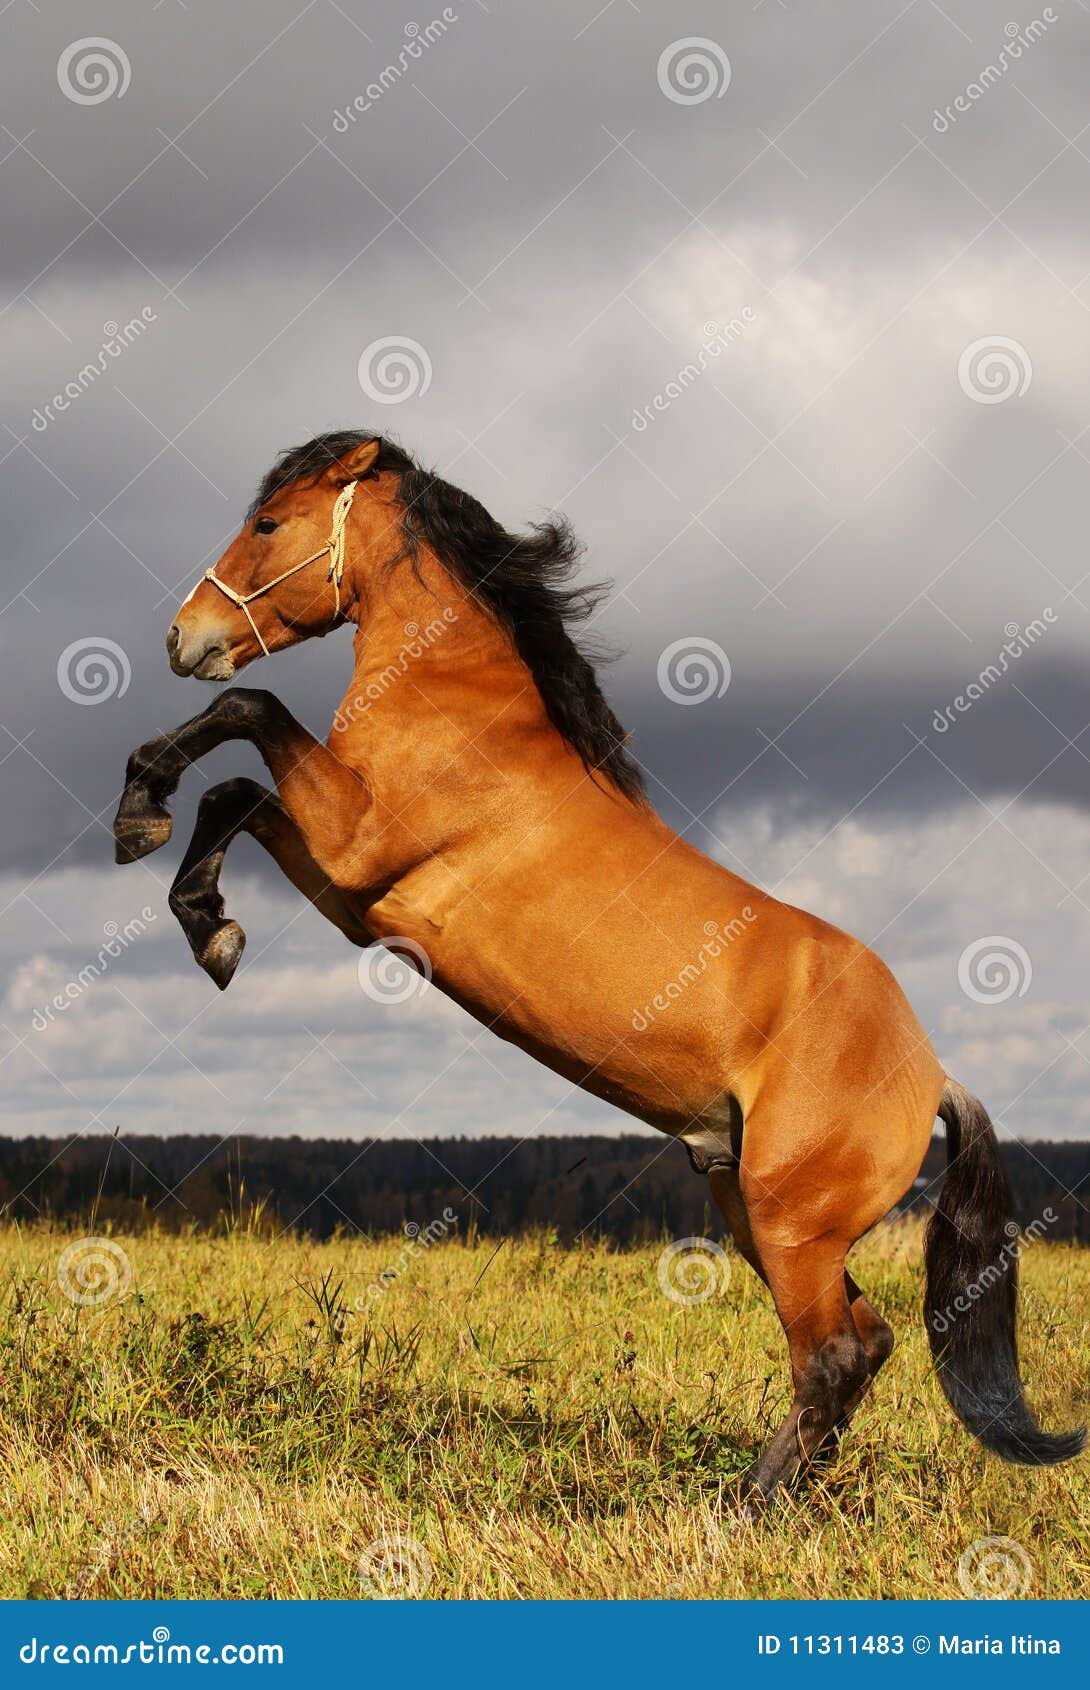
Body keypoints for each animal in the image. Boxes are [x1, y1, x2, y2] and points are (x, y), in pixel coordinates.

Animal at [113, 430, 1085, 1501]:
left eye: (268, 522)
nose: (182, 636)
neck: (457, 703)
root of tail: (931, 1077)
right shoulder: (351, 894)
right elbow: (234, 794)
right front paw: (207, 921)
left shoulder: (354, 844)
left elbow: (249, 714)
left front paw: (144, 812)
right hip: (750, 1208)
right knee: (863, 1344)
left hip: (791, 1224)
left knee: (829, 1354)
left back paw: (746, 1506)